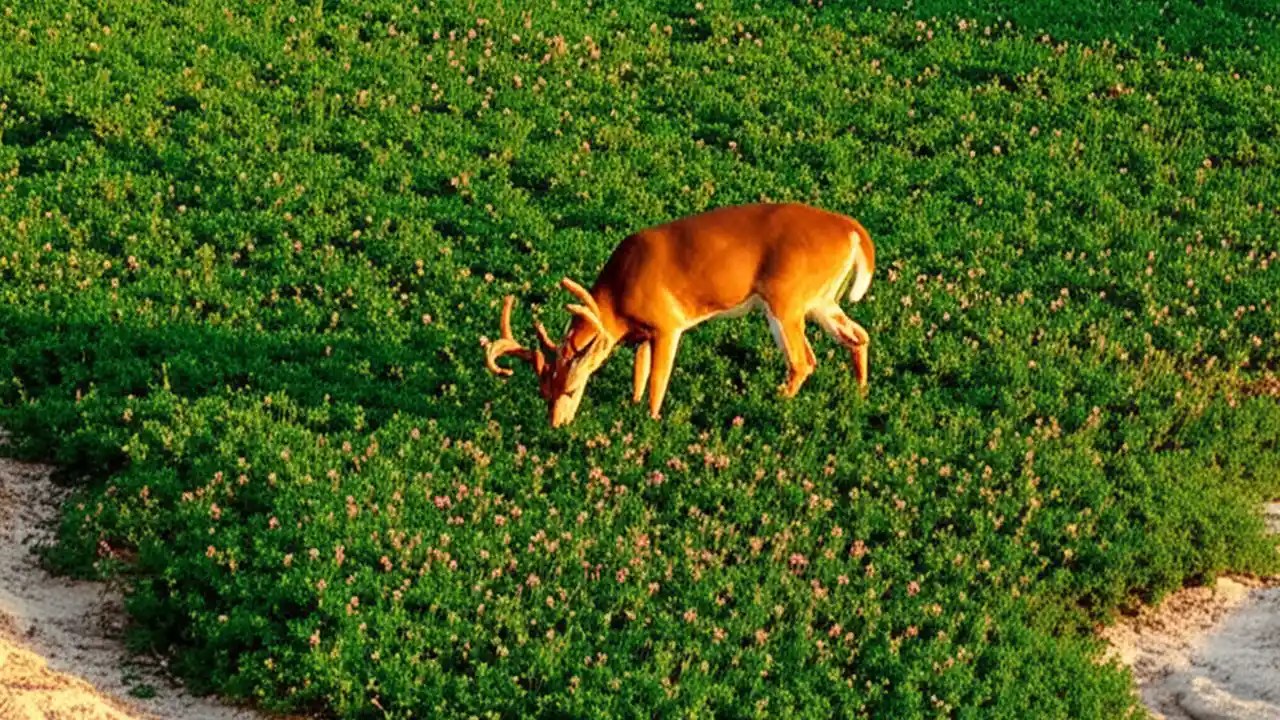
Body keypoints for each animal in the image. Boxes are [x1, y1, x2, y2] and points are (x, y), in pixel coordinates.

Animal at [484, 202, 875, 428]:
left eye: (572, 388)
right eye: (544, 392)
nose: (556, 425)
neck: (619, 296)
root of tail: (854, 233)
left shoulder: (668, 324)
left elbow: (658, 380)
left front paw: (652, 422)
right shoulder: (642, 334)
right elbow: (639, 375)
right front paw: (632, 407)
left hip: (786, 301)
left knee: (802, 360)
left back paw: (774, 404)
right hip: (821, 300)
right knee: (858, 336)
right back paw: (859, 393)